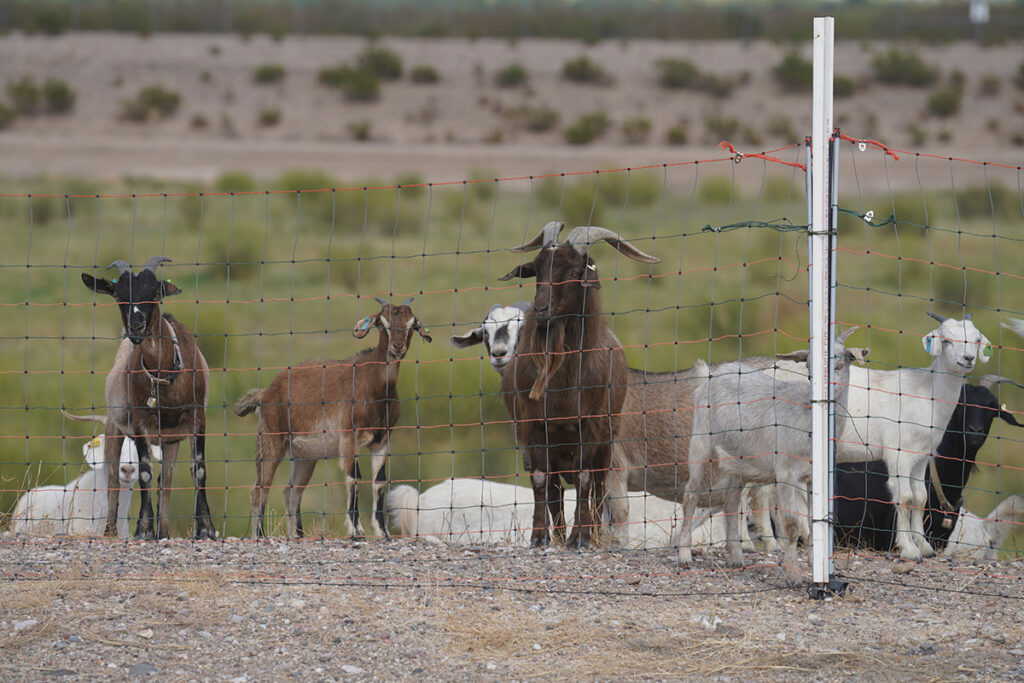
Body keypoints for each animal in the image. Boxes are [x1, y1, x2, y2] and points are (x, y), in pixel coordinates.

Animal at [82, 256, 215, 540]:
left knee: (166, 480)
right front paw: (144, 529)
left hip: (170, 440)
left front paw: (206, 529)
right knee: (112, 476)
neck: (164, 375)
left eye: (155, 293)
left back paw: (164, 531)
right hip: (114, 427)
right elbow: (144, 472)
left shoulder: (197, 416)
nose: (136, 327)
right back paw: (111, 531)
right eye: (119, 295)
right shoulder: (139, 422)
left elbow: (198, 469)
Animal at [234, 296, 432, 539]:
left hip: (305, 456)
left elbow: (379, 483)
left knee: (292, 491)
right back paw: (260, 535)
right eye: (382, 323)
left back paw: (296, 535)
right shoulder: (349, 438)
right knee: (260, 488)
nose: (397, 348)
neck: (374, 387)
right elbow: (355, 479)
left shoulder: (382, 441)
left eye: (412, 324)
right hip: (271, 440)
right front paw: (356, 530)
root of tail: (265, 393)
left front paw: (382, 532)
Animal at [498, 221, 659, 548]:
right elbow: (541, 481)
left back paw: (591, 532)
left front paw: (581, 537)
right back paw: (559, 534)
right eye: (537, 268)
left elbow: (586, 480)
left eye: (574, 271)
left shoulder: (591, 425)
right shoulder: (534, 424)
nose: (541, 308)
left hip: (607, 441)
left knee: (598, 484)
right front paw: (540, 537)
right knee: (556, 491)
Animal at [680, 327, 866, 583]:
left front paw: (813, 564)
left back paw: (736, 556)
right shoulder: (785, 473)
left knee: (731, 500)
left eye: (839, 366)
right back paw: (684, 555)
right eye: (808, 367)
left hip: (738, 458)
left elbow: (812, 522)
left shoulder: (812, 478)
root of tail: (710, 374)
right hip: (701, 440)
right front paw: (794, 575)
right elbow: (791, 525)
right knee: (691, 493)